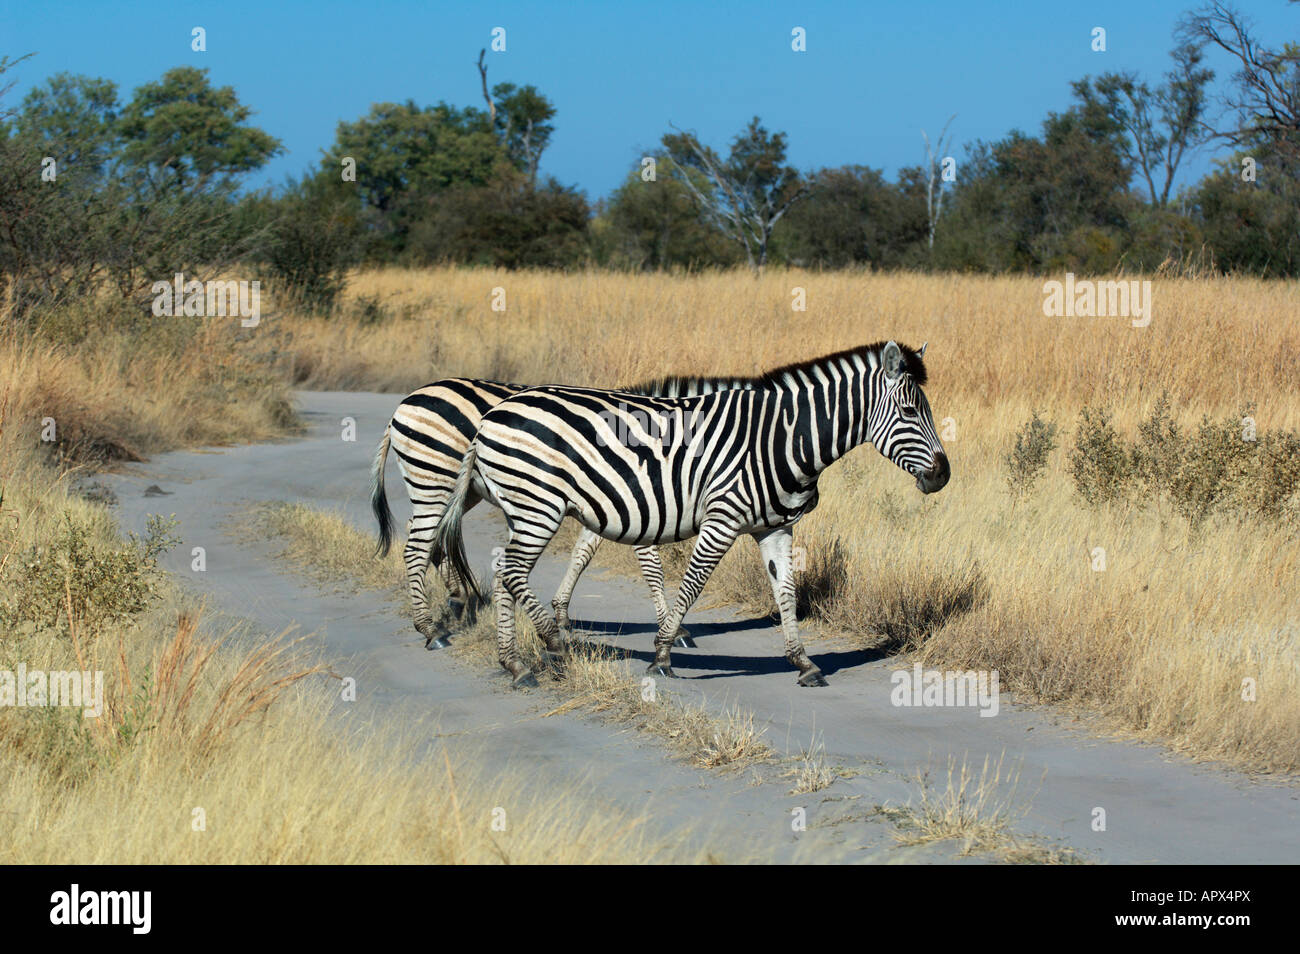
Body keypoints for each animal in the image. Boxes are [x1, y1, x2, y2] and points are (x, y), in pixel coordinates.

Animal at [370, 375, 755, 648]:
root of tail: (404, 404)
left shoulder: (609, 503)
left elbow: (583, 553)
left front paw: (561, 612)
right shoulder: (638, 500)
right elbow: (651, 566)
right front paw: (674, 628)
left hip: (460, 492)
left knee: (428, 534)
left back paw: (457, 597)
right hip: (437, 479)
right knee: (417, 545)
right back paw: (431, 629)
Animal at [432, 340, 949, 688]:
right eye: (910, 412)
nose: (943, 475)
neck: (779, 440)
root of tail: (492, 414)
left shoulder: (776, 528)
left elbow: (785, 593)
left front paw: (804, 663)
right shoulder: (722, 519)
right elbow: (692, 585)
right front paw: (662, 654)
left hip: (524, 507)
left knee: (505, 570)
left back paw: (515, 664)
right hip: (537, 504)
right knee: (512, 570)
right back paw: (552, 647)